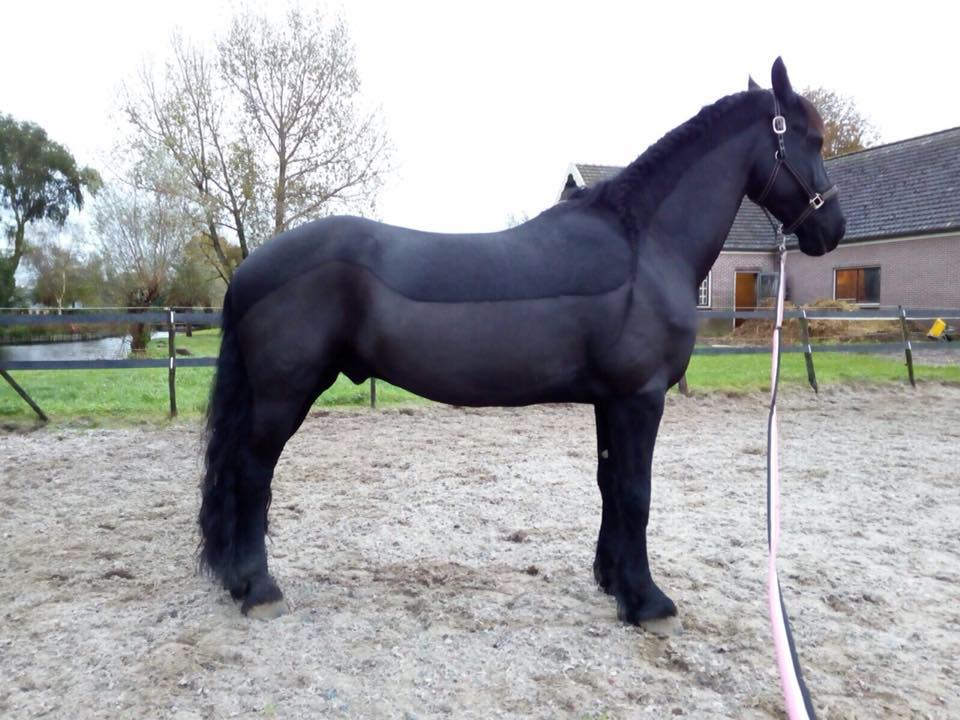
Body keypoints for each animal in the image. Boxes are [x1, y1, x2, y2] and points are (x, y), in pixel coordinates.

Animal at [198, 58, 846, 628]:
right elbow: (636, 493)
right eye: (812, 139)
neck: (645, 244)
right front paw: (648, 603)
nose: (832, 229)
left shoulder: (612, 402)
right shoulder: (640, 398)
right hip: (284, 396)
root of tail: (251, 268)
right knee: (251, 474)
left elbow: (610, 486)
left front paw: (612, 581)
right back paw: (258, 590)